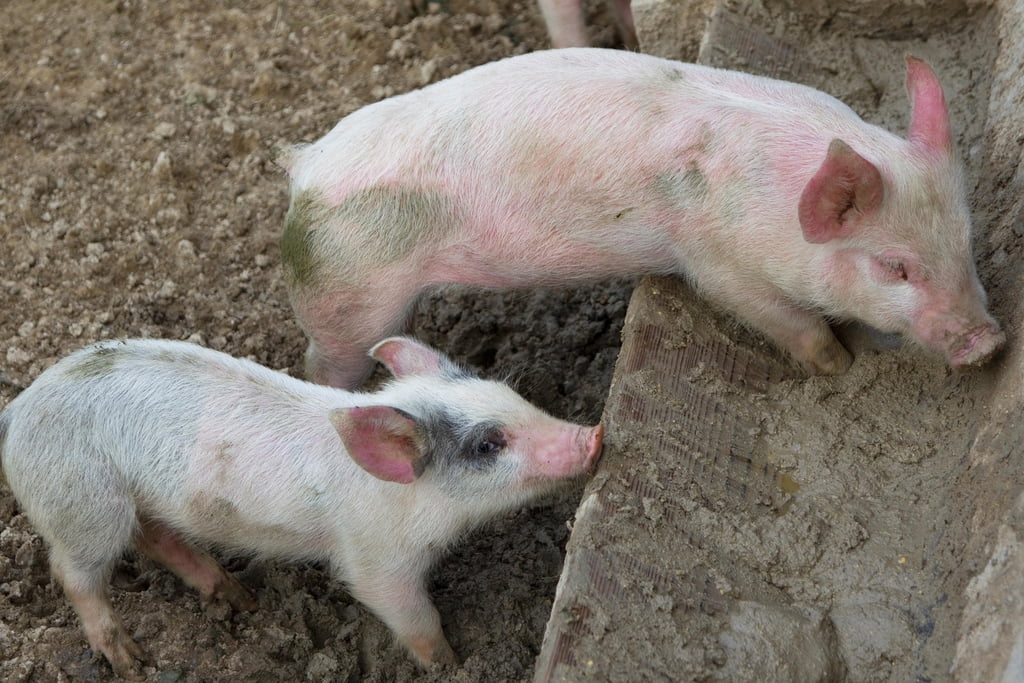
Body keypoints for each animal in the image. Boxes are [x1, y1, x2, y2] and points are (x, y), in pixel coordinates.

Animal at [0, 337, 603, 679]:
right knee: (73, 571)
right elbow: (408, 612)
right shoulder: (374, 558)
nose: (595, 434)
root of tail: (18, 410)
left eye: (512, 394)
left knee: (157, 537)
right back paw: (132, 662)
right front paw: (452, 667)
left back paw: (240, 599)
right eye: (487, 445)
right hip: (81, 502)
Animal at [281, 48, 1004, 388]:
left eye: (966, 242)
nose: (990, 341)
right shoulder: (716, 262)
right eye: (895, 266)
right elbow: (791, 324)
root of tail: (304, 167)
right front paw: (841, 367)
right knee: (322, 365)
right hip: (347, 297)